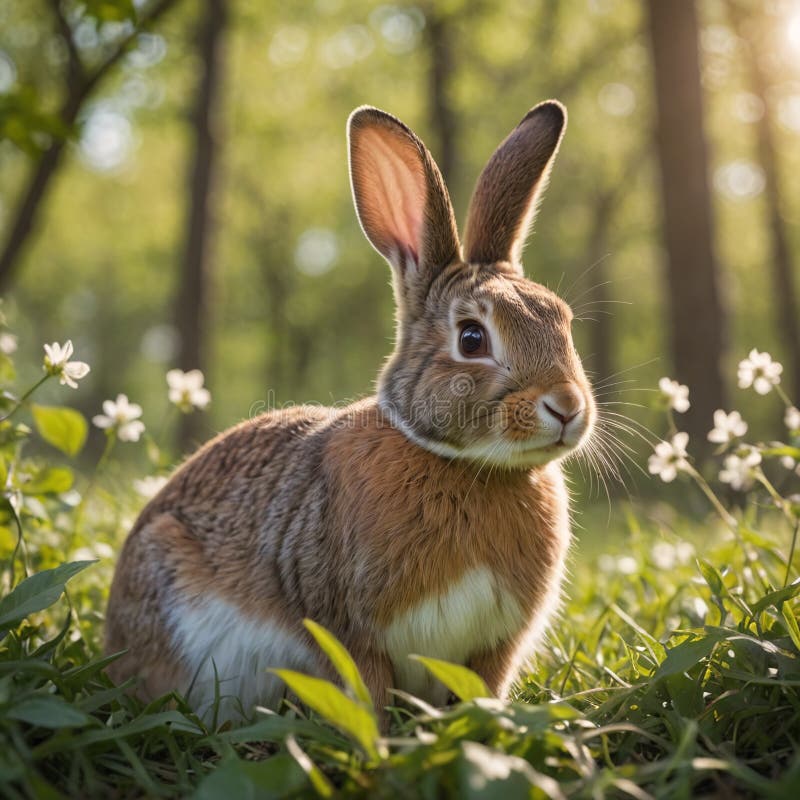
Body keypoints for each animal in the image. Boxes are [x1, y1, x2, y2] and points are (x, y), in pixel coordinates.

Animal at [105, 99, 595, 727]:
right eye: (471, 338)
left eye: (563, 320)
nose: (568, 407)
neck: (463, 464)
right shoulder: (349, 631)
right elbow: (369, 693)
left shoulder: (494, 646)